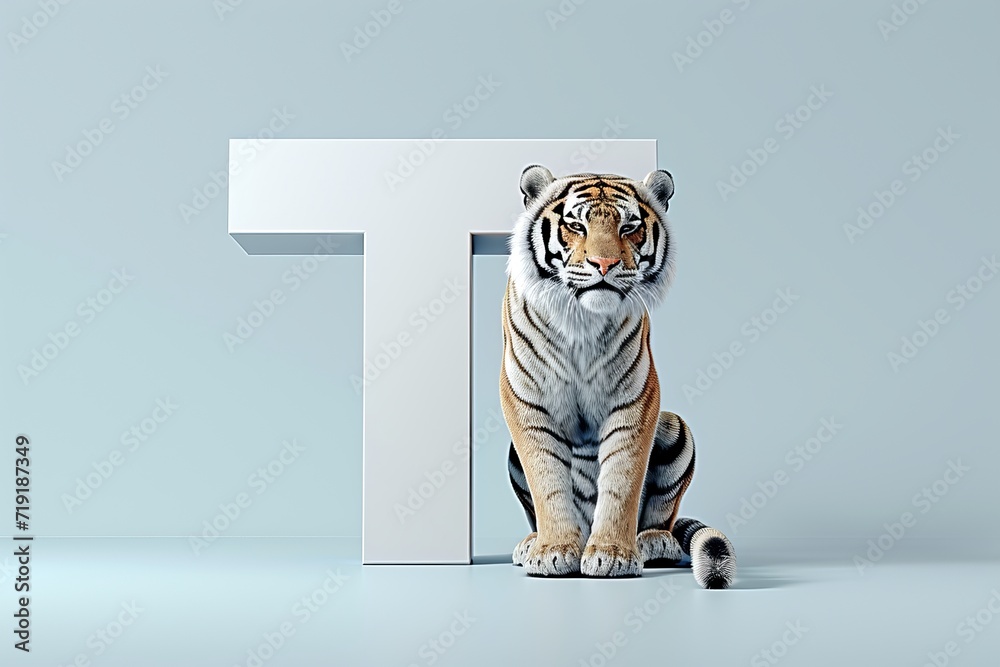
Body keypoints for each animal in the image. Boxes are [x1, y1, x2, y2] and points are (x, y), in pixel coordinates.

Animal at [500, 165, 736, 588]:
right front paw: (553, 550)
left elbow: (623, 480)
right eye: (575, 225)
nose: (605, 264)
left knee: (661, 514)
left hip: (676, 427)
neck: (582, 322)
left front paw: (611, 555)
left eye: (629, 228)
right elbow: (547, 482)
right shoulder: (526, 400)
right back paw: (531, 542)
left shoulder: (637, 400)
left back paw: (654, 541)